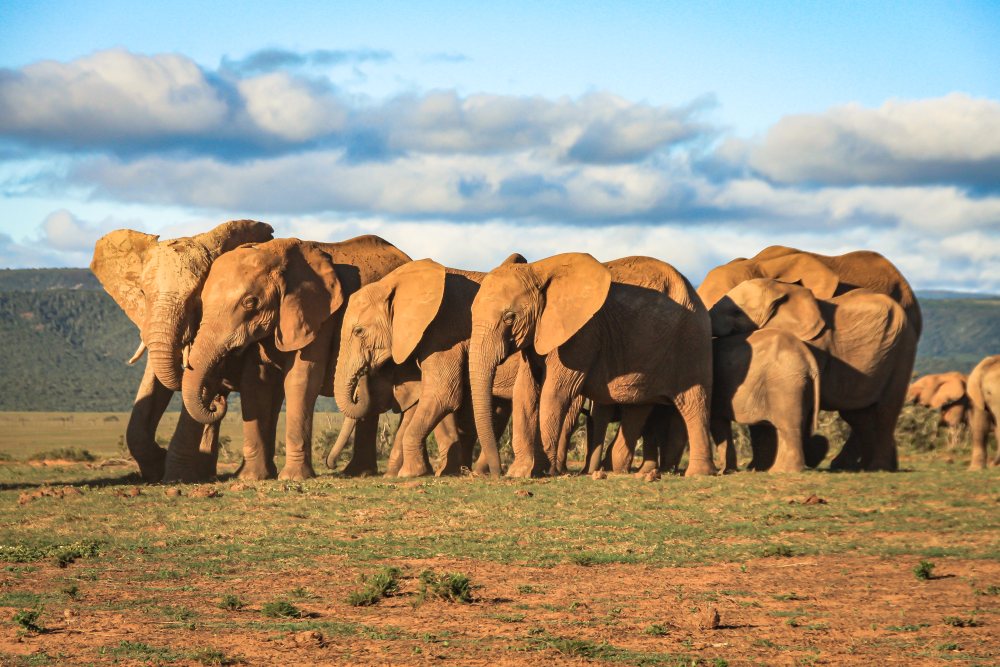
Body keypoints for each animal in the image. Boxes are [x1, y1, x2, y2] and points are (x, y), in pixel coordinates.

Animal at [90, 220, 277, 482]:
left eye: (197, 297)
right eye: (143, 293)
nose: (218, 402)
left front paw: (175, 475)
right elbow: (153, 384)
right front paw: (157, 467)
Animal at [181, 235, 411, 480]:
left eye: (250, 302)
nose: (217, 402)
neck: (275, 255)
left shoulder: (320, 316)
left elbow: (302, 379)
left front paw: (292, 477)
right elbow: (255, 383)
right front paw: (251, 477)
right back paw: (359, 473)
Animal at [334, 257, 581, 477]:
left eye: (359, 331)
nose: (365, 371)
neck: (397, 281)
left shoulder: (443, 332)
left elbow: (443, 394)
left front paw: (409, 475)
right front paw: (443, 472)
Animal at [469, 253, 717, 478]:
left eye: (510, 317)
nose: (496, 474)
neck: (538, 270)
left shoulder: (582, 333)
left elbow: (554, 392)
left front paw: (538, 472)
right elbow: (525, 391)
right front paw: (519, 473)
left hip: (692, 340)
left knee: (694, 401)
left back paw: (698, 473)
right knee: (639, 404)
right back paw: (615, 469)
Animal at [709, 278, 918, 471]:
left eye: (736, 313)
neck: (781, 288)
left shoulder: (815, 343)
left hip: (903, 349)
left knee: (886, 410)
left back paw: (877, 467)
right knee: (859, 415)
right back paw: (866, 467)